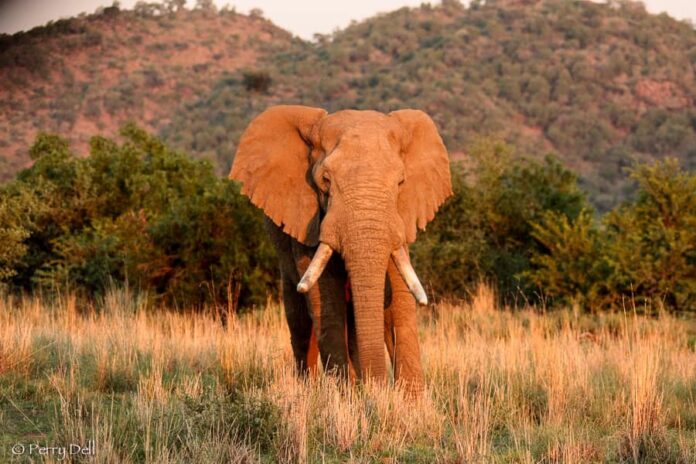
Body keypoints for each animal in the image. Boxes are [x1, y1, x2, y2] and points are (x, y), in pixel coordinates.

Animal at [229, 105, 452, 394]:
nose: (378, 386)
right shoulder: (308, 221)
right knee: (300, 322)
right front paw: (345, 396)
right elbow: (326, 300)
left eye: (401, 182)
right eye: (325, 180)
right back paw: (309, 389)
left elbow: (399, 303)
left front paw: (407, 401)